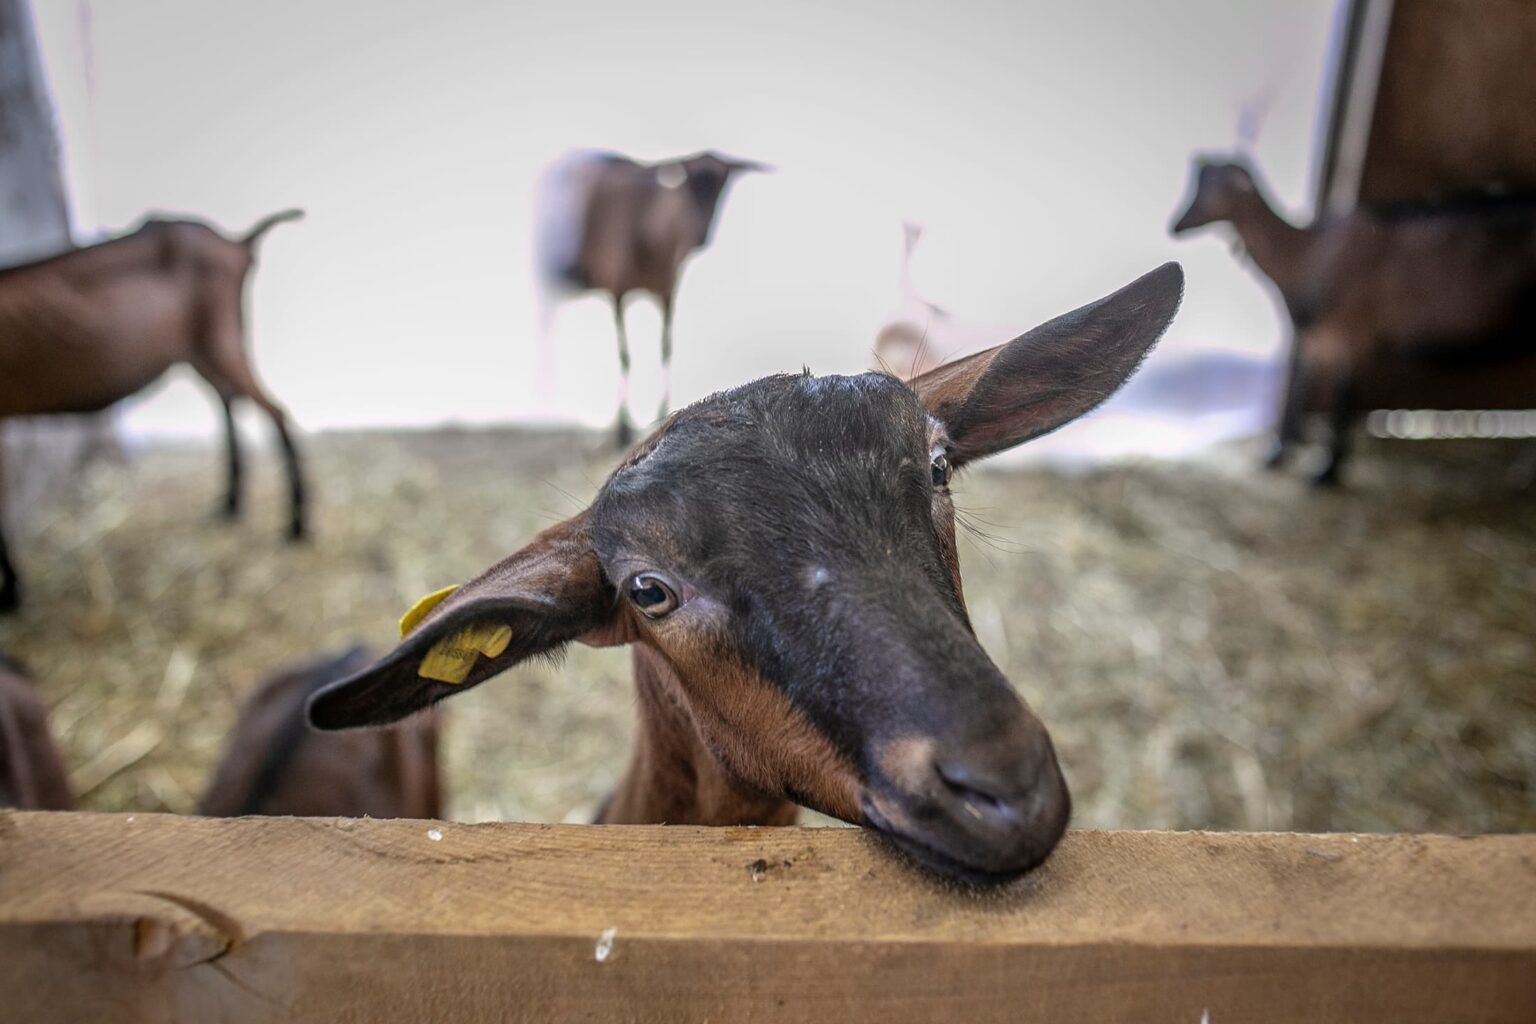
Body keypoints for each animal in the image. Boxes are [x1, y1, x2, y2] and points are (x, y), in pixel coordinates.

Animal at [0, 209, 307, 611]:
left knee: (275, 411)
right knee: (228, 400)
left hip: (220, 338)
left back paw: (297, 525)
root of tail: (237, 243)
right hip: (204, 347)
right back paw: (230, 504)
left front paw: (11, 592)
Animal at [535, 149, 767, 446]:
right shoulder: (618, 290)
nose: (702, 235)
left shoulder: (667, 290)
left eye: (723, 184)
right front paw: (622, 427)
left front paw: (662, 413)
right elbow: (624, 354)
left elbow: (666, 346)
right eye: (688, 183)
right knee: (546, 330)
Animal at [1171, 155, 1536, 484]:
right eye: (1194, 184)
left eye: (1213, 188)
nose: (1175, 225)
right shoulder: (1317, 337)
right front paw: (1279, 454)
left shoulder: (1353, 333)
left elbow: (1342, 396)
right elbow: (1303, 386)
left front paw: (1326, 470)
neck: (1307, 255)